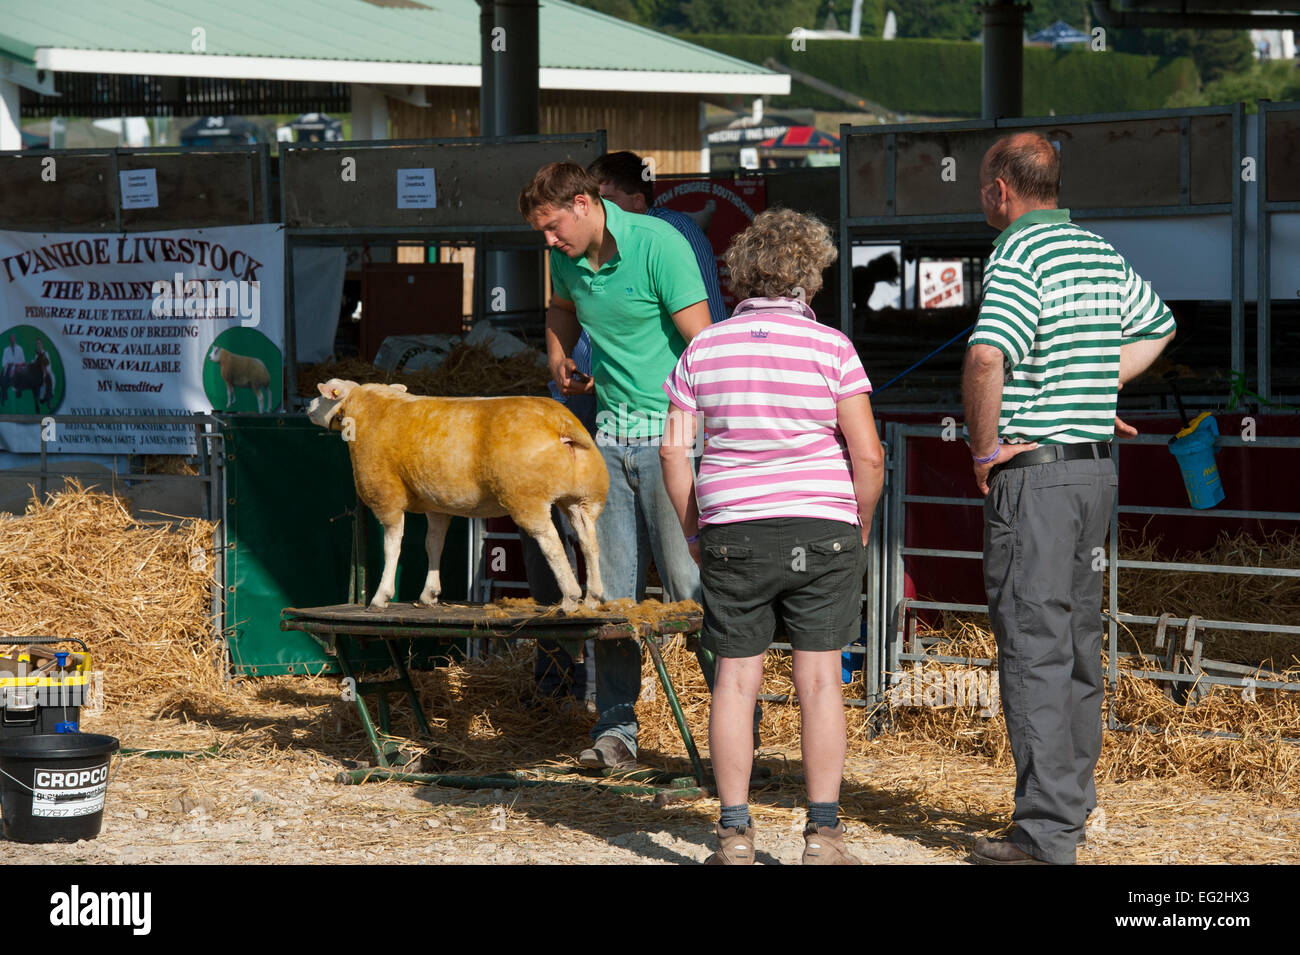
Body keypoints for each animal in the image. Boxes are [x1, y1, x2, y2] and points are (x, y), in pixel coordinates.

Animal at [307, 378, 607, 613]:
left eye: (326, 392)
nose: (307, 407)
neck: (360, 410)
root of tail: (561, 422)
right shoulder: (436, 505)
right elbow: (433, 544)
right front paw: (429, 594)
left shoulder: (386, 496)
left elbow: (392, 546)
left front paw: (381, 596)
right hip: (582, 498)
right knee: (588, 541)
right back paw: (593, 597)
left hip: (527, 497)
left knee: (551, 542)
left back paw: (570, 598)